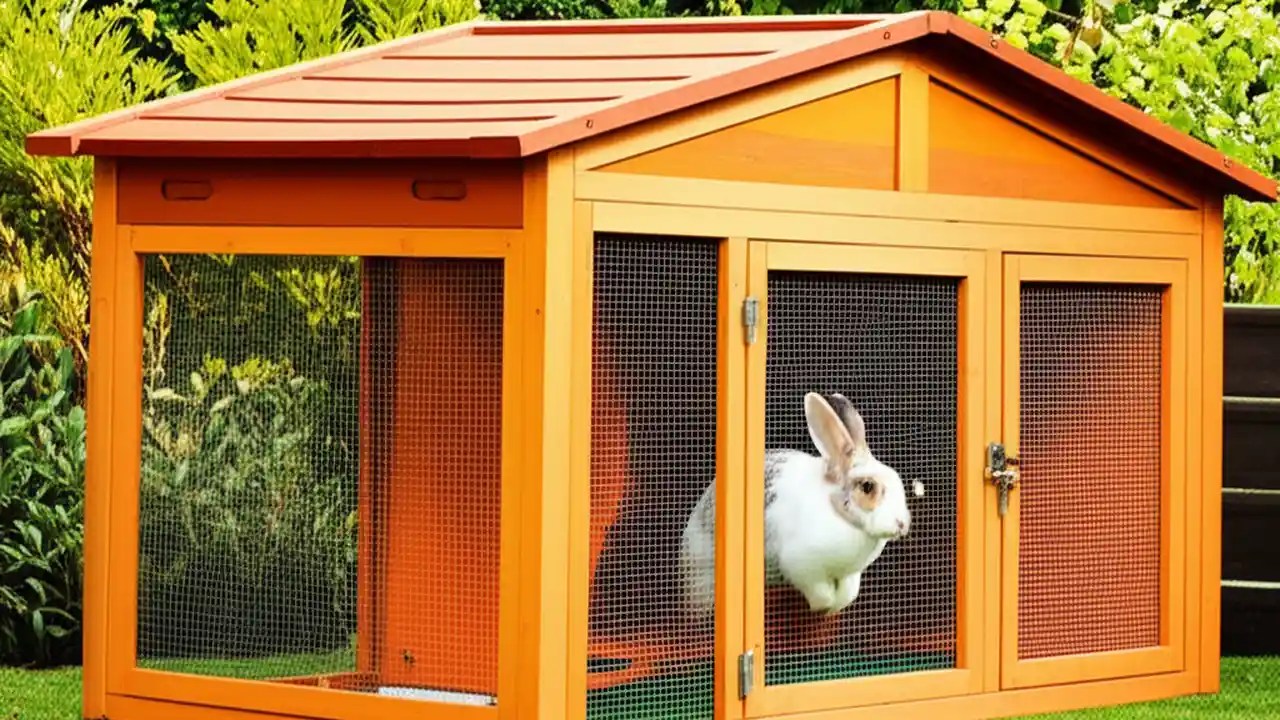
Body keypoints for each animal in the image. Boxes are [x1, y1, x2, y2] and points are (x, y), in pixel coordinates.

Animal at [679, 392, 914, 618]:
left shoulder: (851, 575)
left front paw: (835, 609)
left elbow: (847, 595)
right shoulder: (802, 566)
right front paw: (823, 608)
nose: (902, 524)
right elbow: (822, 595)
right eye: (867, 487)